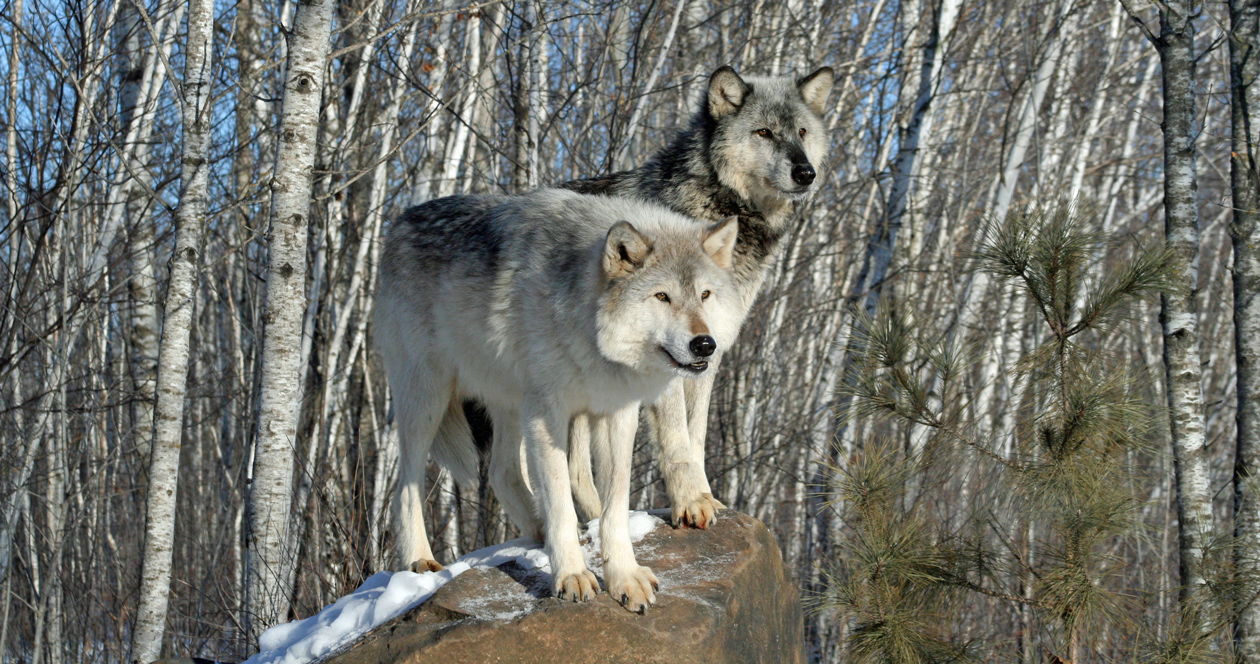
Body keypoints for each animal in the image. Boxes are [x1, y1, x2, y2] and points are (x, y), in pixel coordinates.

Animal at [375, 189, 741, 612]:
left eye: (705, 295)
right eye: (662, 296)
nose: (704, 344)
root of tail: (399, 222)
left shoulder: (616, 413)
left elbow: (614, 506)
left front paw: (624, 578)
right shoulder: (547, 414)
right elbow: (562, 501)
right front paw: (572, 576)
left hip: (510, 405)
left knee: (500, 471)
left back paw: (538, 529)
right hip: (428, 398)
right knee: (406, 487)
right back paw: (420, 560)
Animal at [554, 65, 836, 528]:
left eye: (801, 132)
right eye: (763, 132)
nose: (806, 173)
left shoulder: (709, 347)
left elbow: (697, 434)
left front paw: (707, 497)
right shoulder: (666, 352)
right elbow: (677, 437)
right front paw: (689, 502)